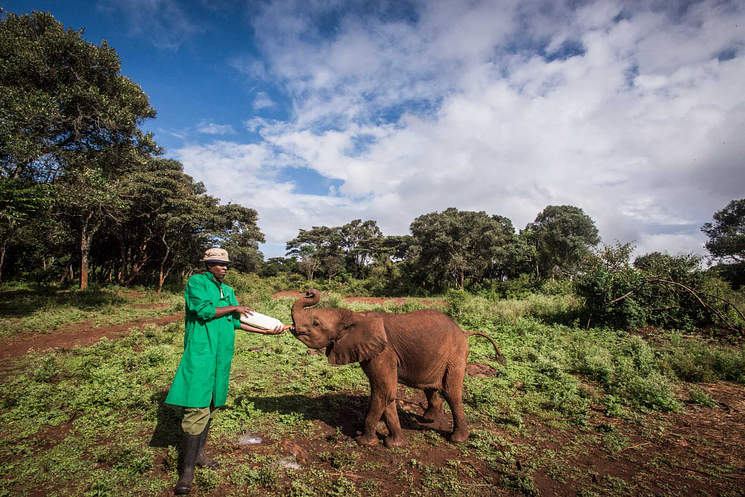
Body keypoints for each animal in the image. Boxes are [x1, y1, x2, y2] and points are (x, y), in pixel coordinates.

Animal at [289, 289, 505, 447]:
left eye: (316, 323)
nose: (309, 291)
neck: (356, 316)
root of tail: (464, 332)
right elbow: (386, 394)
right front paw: (394, 444)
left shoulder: (383, 353)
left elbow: (383, 392)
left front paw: (364, 441)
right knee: (430, 387)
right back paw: (427, 419)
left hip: (456, 355)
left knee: (451, 392)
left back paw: (457, 439)